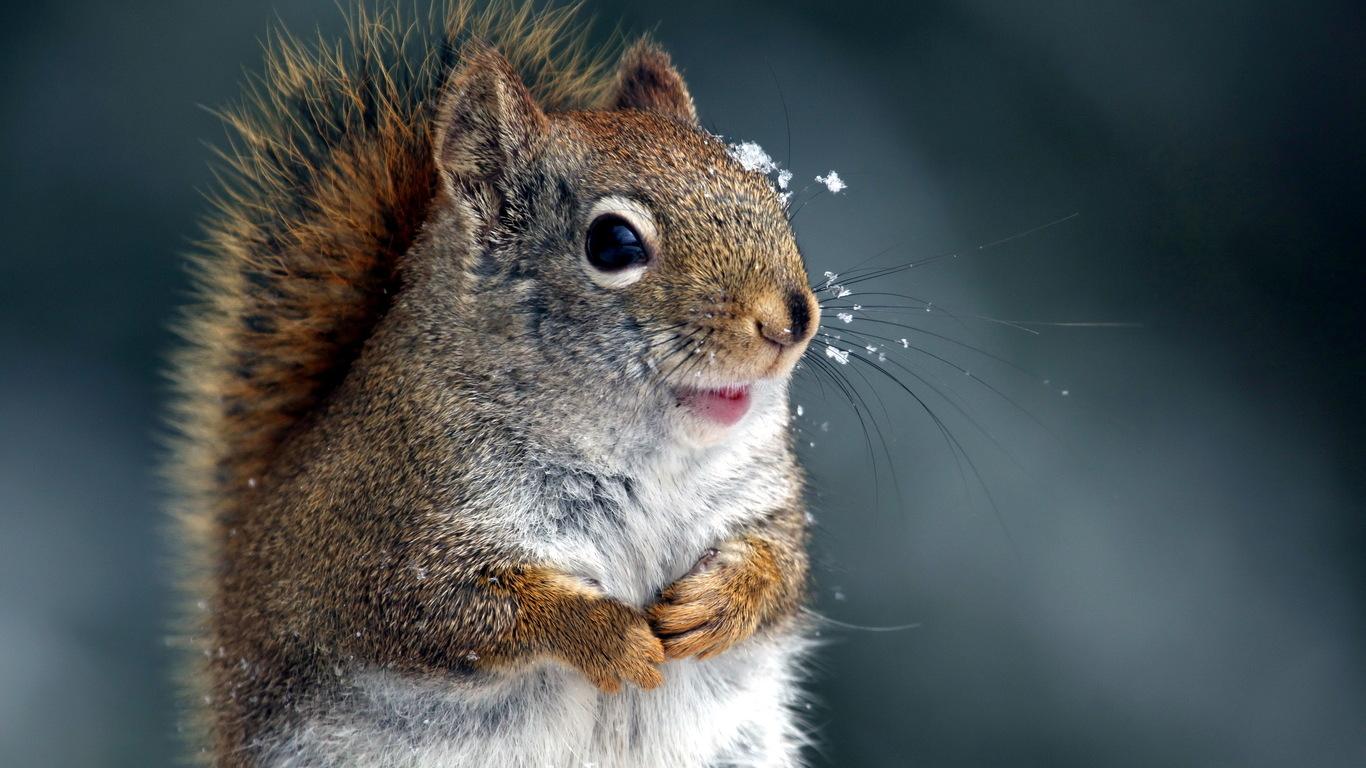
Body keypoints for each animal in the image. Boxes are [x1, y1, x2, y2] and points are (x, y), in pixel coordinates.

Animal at [169, 2, 821, 766]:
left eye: (765, 192)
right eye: (614, 244)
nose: (792, 319)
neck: (645, 455)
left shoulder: (762, 498)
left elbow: (780, 564)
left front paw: (719, 605)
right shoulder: (386, 541)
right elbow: (466, 613)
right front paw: (606, 636)